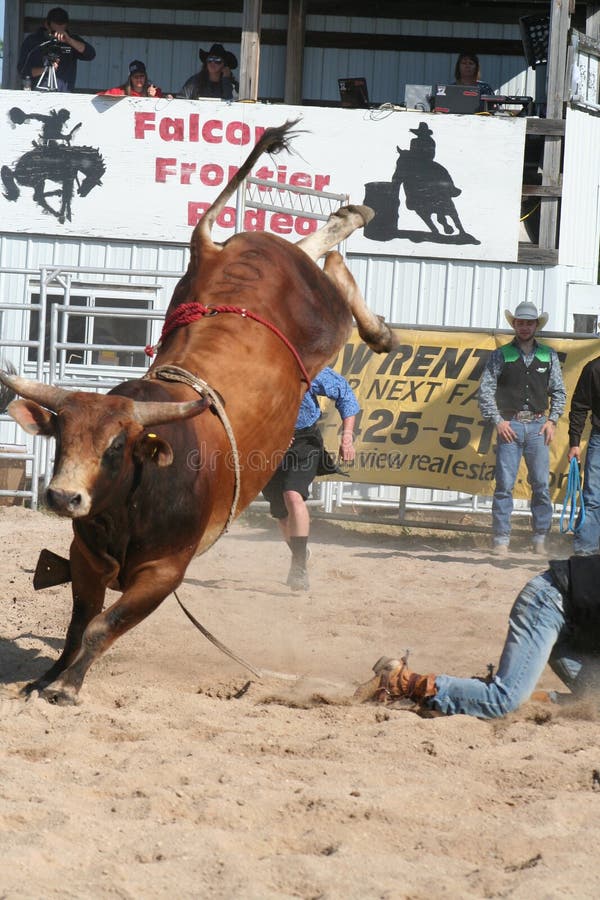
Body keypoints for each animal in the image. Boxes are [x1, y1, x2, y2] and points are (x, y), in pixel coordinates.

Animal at [0, 120, 395, 705]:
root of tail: (216, 246)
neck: (135, 495)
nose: (63, 497)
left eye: (117, 447)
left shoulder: (165, 573)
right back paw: (348, 219)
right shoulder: (87, 559)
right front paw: (49, 676)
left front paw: (67, 686)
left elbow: (102, 626)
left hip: (327, 319)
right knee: (314, 245)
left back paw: (377, 316)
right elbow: (78, 624)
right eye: (61, 439)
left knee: (337, 277)